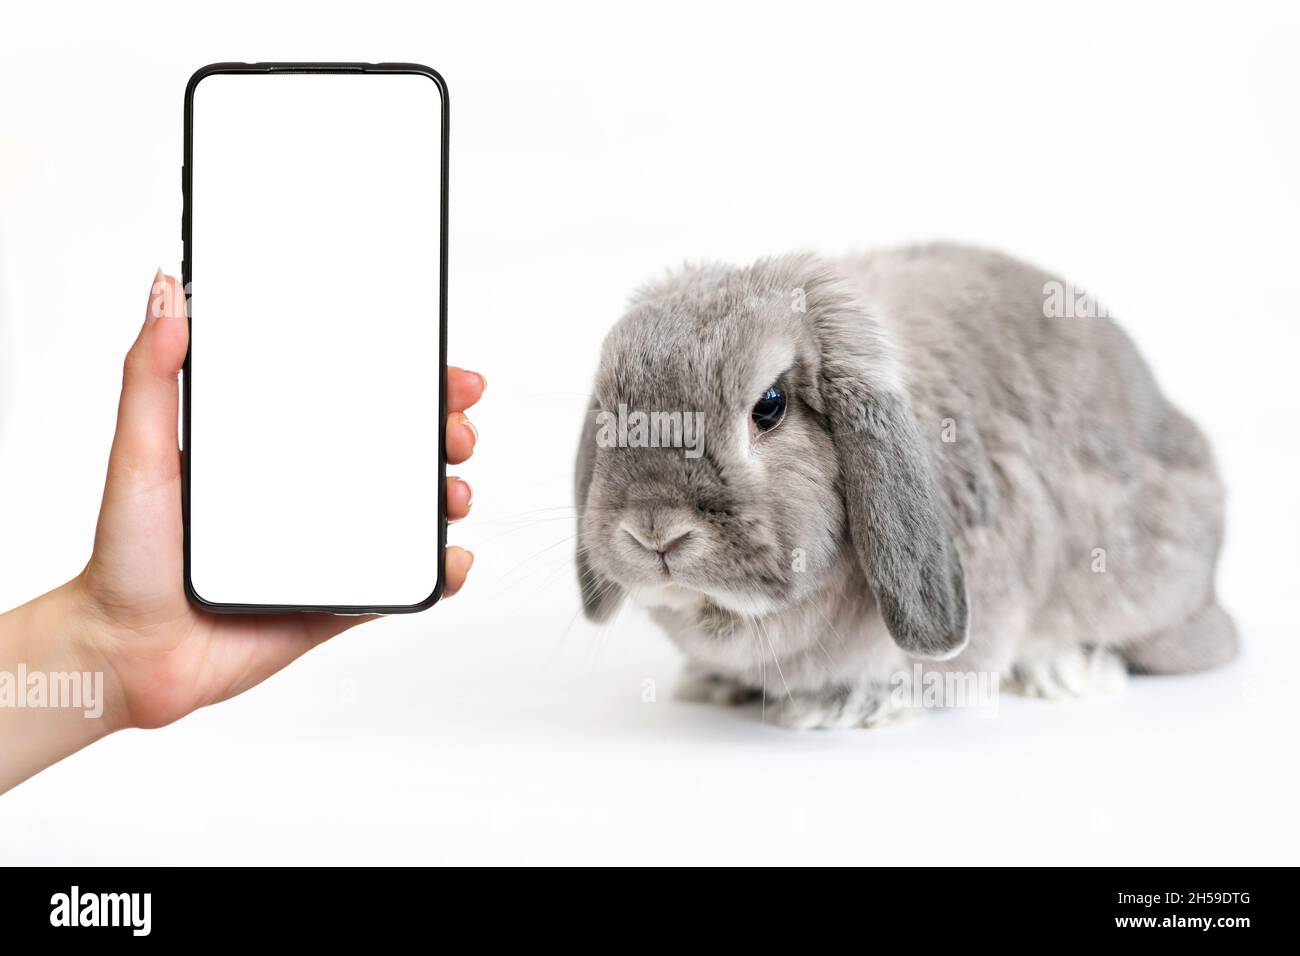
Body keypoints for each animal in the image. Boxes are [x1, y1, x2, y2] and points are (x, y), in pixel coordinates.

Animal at [573, 243, 1237, 729]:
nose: (655, 532)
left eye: (769, 407)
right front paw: (712, 683)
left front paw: (839, 707)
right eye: (610, 416)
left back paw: (1068, 668)